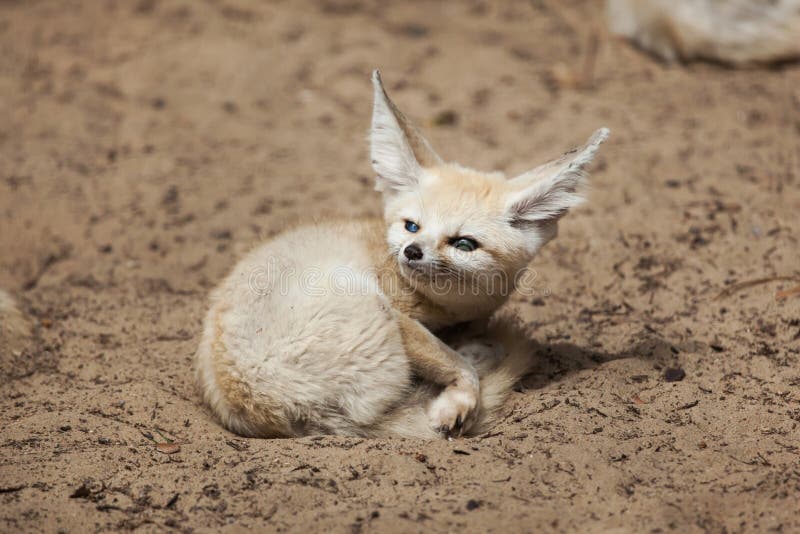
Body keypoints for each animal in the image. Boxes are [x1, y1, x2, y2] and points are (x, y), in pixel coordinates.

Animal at [194, 70, 609, 439]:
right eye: (412, 226)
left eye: (463, 244)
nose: (412, 251)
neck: (456, 307)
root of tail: (265, 406)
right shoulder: (400, 316)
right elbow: (457, 365)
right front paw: (457, 395)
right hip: (368, 309)